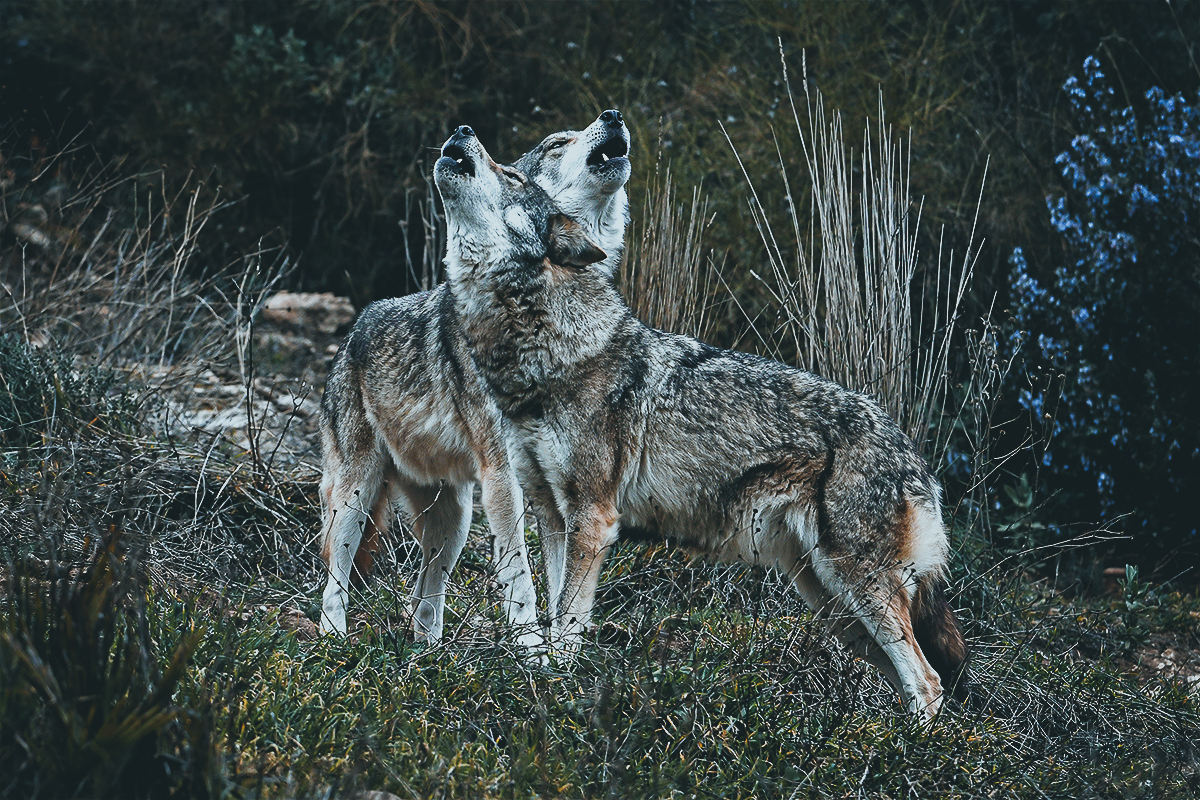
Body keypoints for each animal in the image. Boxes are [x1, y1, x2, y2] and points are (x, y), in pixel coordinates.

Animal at [317, 111, 632, 651]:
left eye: (513, 174)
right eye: (557, 143)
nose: (612, 115)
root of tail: (354, 329)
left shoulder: (551, 487)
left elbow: (559, 579)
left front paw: (554, 651)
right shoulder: (503, 475)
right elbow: (520, 573)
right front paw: (531, 650)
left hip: (454, 521)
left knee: (425, 594)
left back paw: (429, 655)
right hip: (357, 493)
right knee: (335, 574)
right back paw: (333, 638)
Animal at [433, 126, 968, 720]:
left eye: (510, 174)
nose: (462, 132)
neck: (543, 349)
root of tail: (912, 453)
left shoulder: (592, 519)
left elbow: (568, 625)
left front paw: (557, 688)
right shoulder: (552, 514)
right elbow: (553, 612)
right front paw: (547, 678)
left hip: (855, 585)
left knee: (927, 681)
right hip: (833, 603)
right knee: (910, 679)